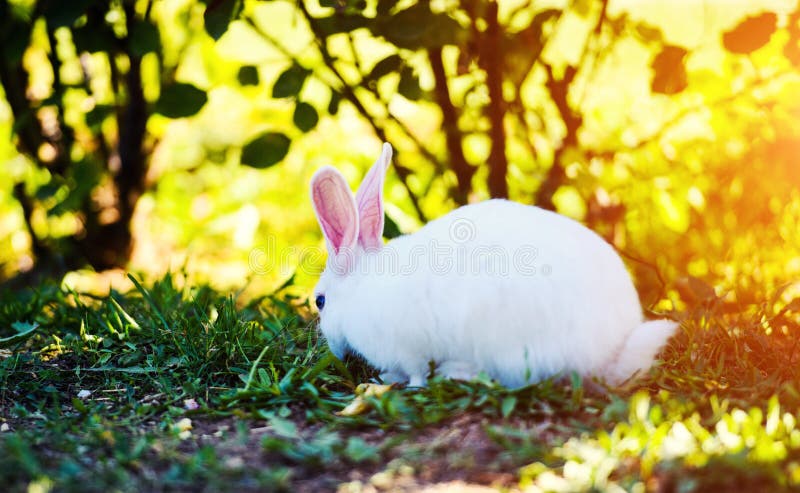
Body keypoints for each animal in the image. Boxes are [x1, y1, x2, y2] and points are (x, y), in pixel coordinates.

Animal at [310, 142, 676, 387]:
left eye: (320, 301)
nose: (334, 350)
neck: (361, 287)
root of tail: (610, 353)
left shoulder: (407, 347)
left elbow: (415, 372)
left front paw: (395, 382)